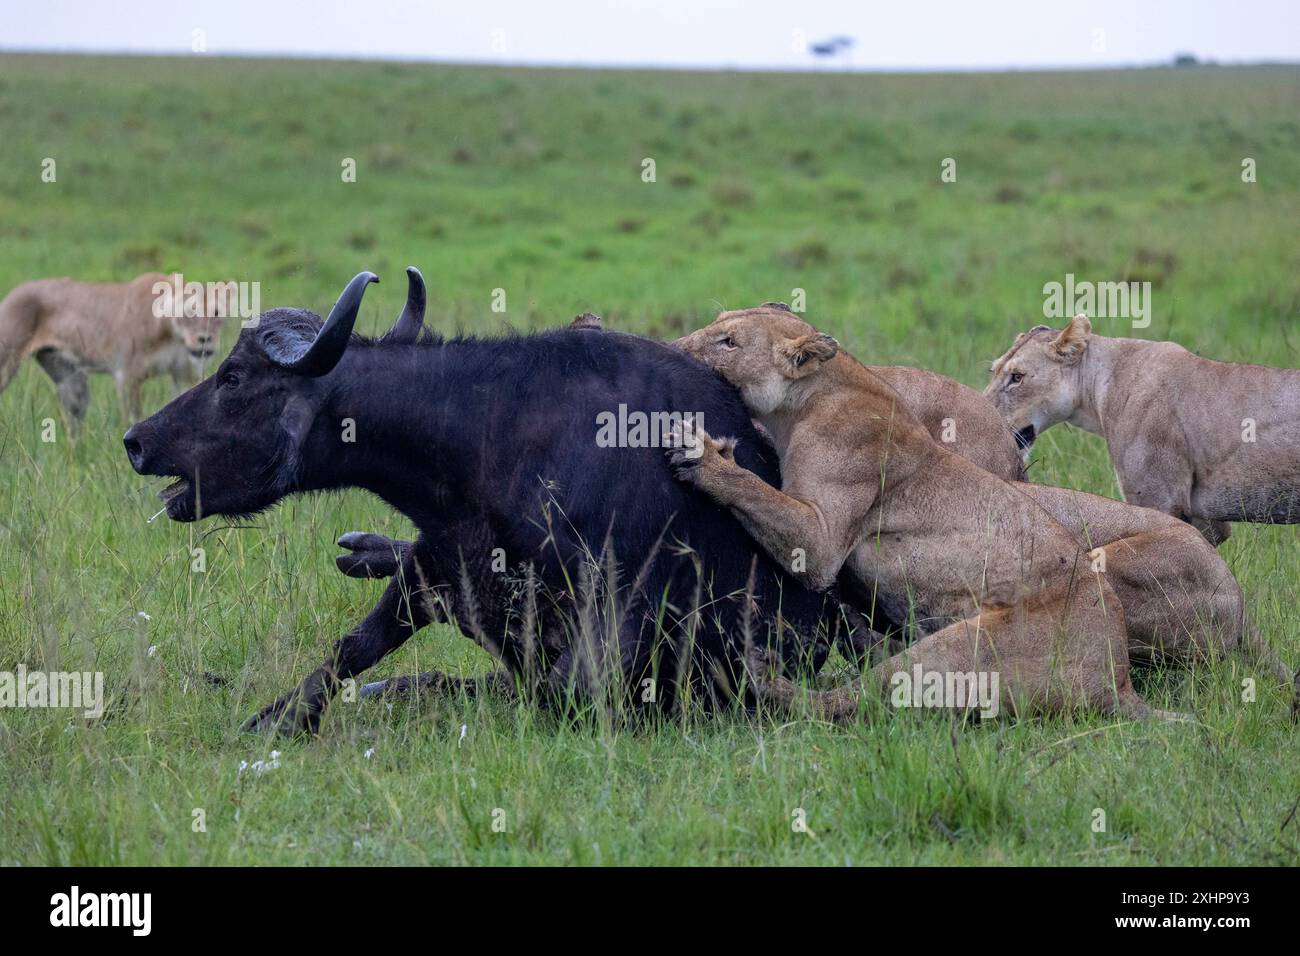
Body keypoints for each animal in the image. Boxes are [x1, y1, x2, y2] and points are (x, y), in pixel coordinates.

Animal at [0, 272, 231, 423]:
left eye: (216, 313)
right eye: (189, 312)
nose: (204, 339)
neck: (173, 335)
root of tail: (15, 290)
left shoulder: (185, 375)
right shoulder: (127, 374)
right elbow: (133, 417)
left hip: (69, 378)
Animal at [986, 315, 1300, 546]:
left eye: (1017, 377)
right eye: (994, 370)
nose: (982, 409)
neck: (1099, 389)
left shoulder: (1161, 499)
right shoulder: (1206, 519)